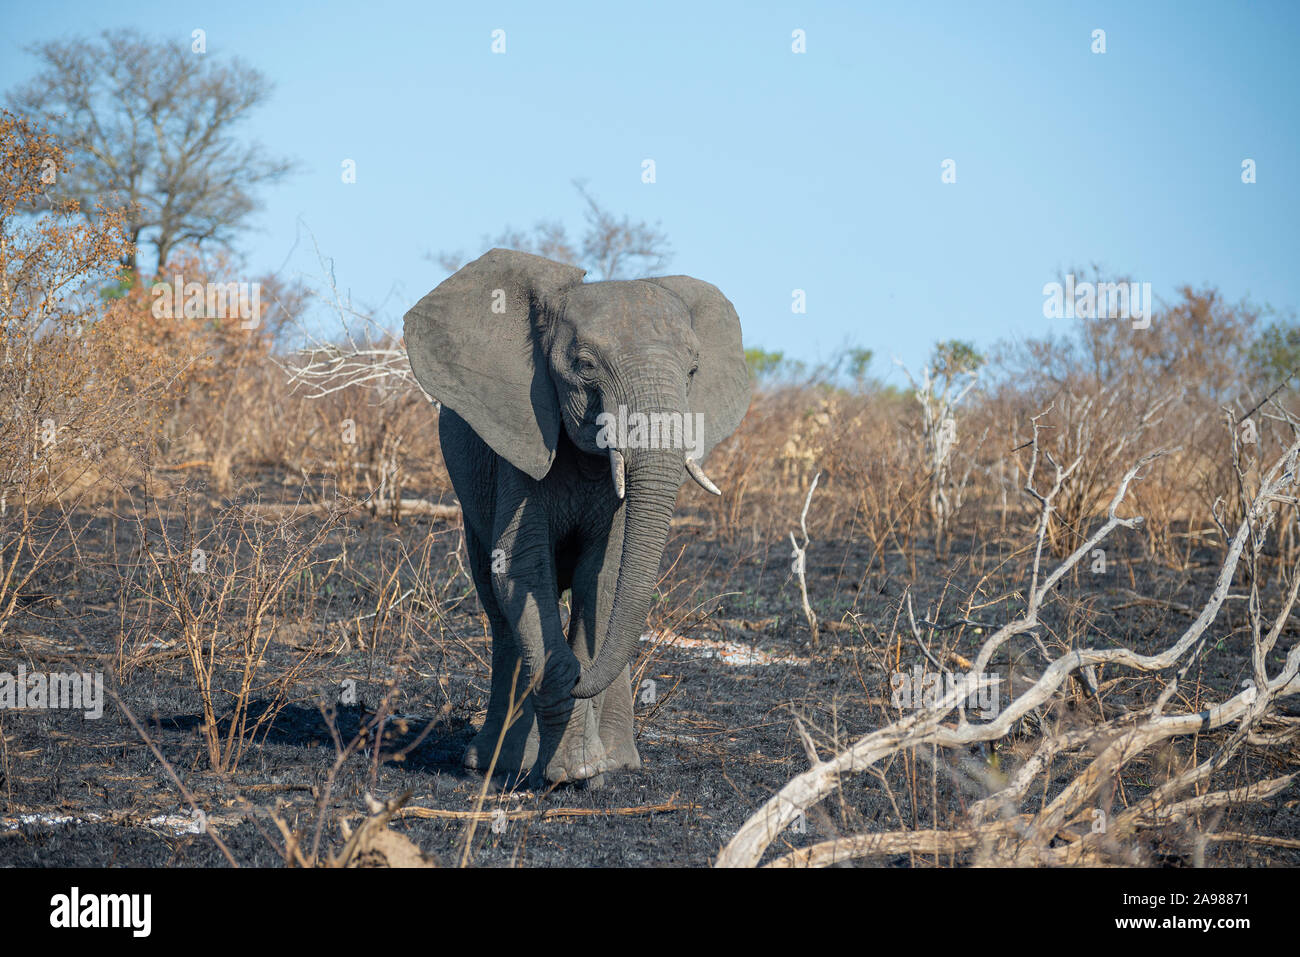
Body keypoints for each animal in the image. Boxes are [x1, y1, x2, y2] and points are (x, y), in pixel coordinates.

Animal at [403, 248, 749, 785]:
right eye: (584, 366)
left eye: (693, 371)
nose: (582, 679)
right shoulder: (521, 440)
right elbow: (520, 571)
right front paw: (575, 771)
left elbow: (603, 578)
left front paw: (592, 770)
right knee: (497, 609)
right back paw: (497, 764)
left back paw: (620, 759)